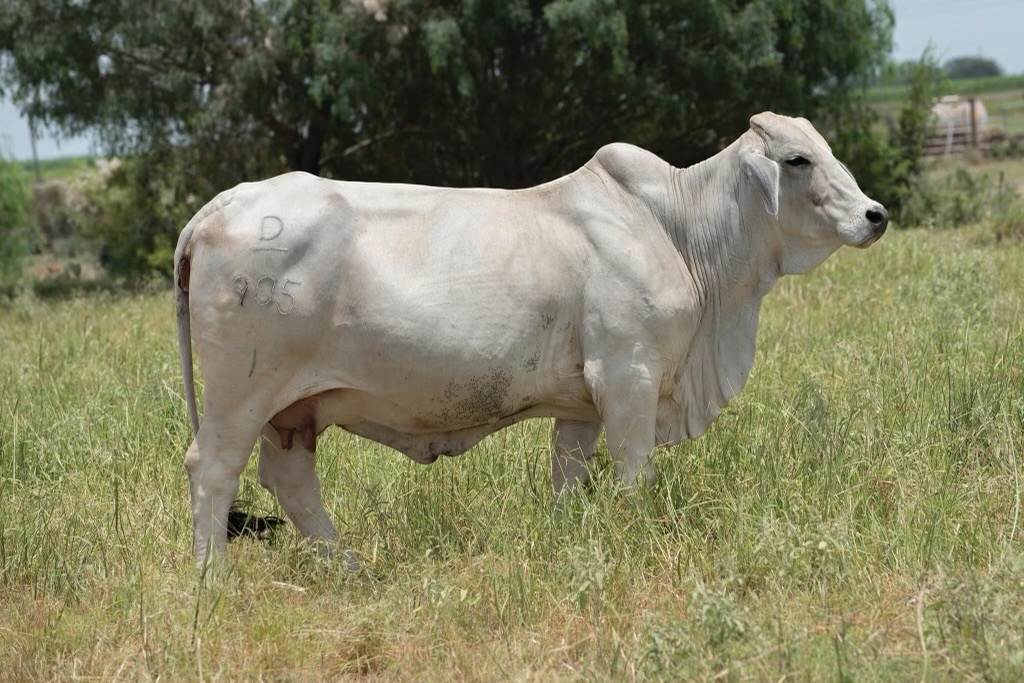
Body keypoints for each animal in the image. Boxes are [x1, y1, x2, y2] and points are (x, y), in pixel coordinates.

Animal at [174, 112, 888, 566]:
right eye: (798, 159)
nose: (875, 215)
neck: (679, 230)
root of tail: (222, 204)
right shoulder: (628, 375)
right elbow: (635, 472)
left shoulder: (580, 407)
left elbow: (568, 478)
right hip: (241, 392)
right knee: (213, 469)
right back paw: (214, 579)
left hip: (292, 410)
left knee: (289, 479)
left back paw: (346, 565)